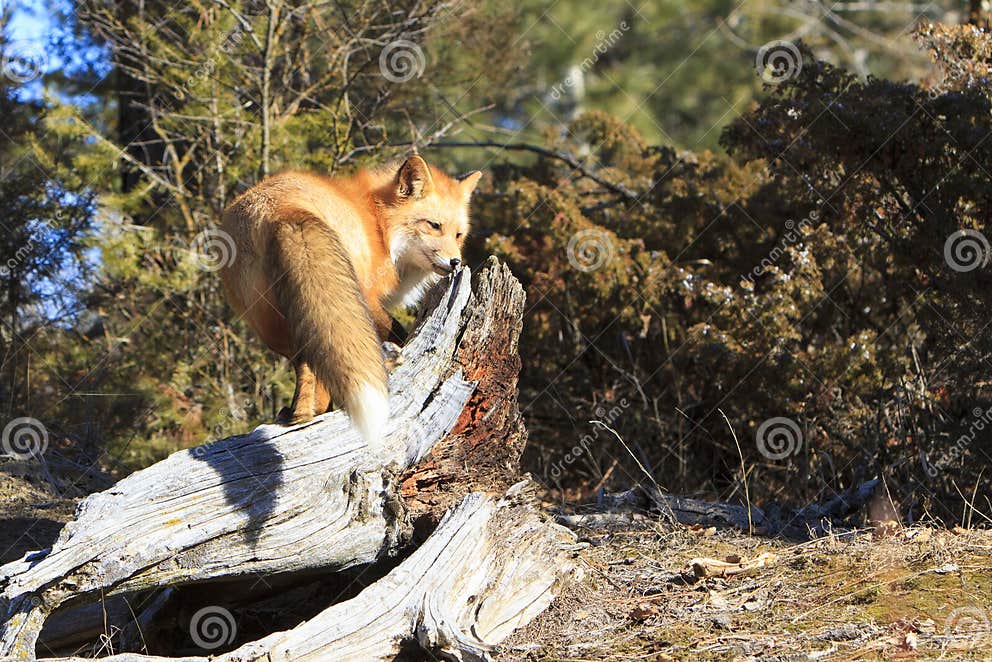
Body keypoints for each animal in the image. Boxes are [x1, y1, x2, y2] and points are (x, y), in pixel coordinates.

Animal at [219, 155, 482, 446]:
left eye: (459, 235)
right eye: (434, 225)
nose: (456, 261)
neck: (378, 223)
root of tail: (284, 209)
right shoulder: (369, 294)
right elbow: (394, 330)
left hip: (274, 325)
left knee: (308, 364)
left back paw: (302, 416)